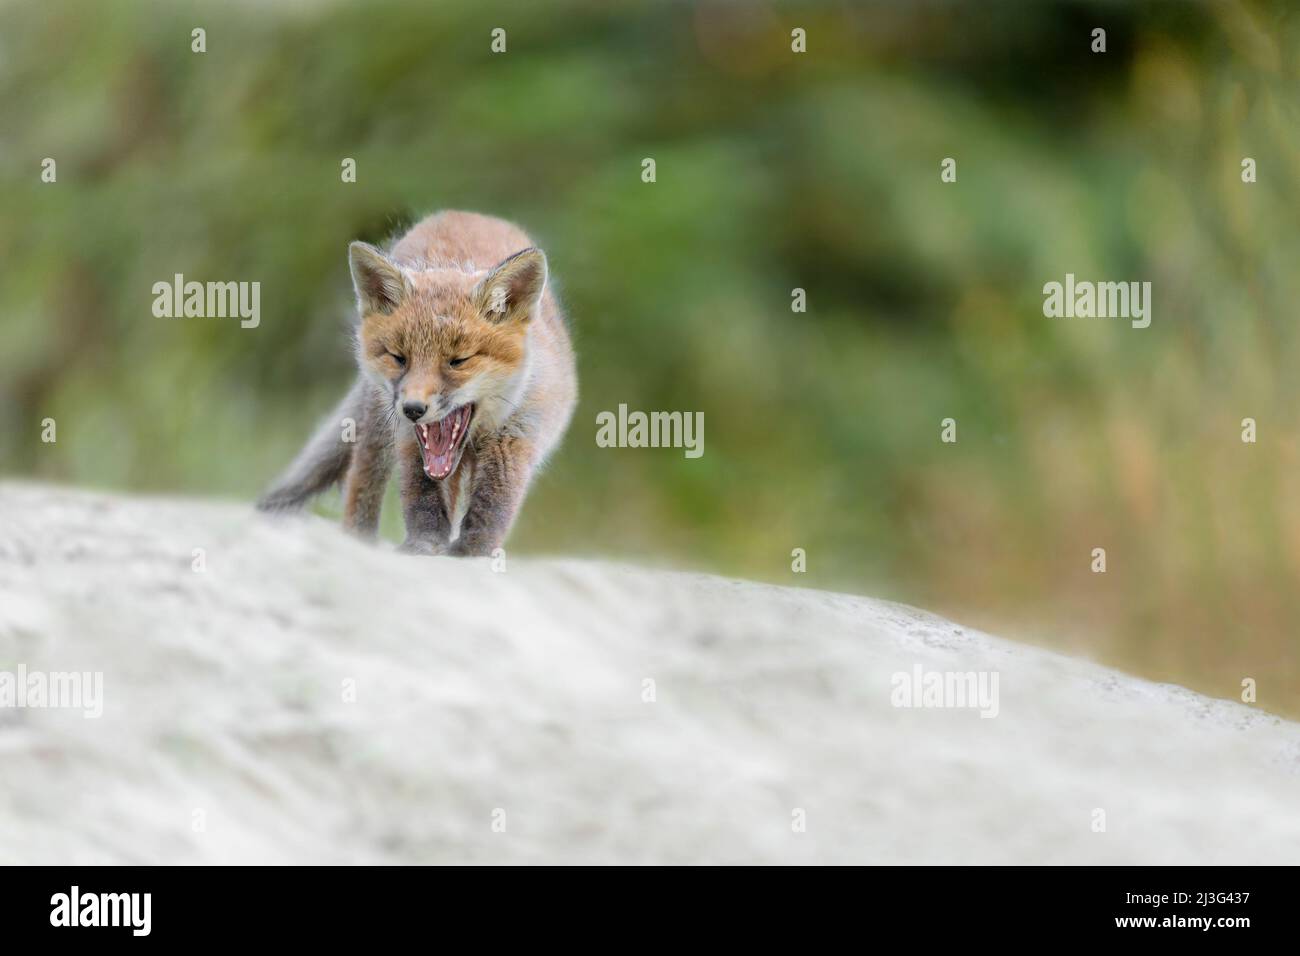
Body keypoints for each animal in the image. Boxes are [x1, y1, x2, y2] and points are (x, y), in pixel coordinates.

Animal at [257, 210, 577, 556]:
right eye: (399, 357)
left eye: (458, 360)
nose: (412, 408)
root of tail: (466, 214)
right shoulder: (409, 441)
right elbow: (423, 499)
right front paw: (423, 545)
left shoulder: (515, 438)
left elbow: (492, 507)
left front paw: (470, 553)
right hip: (377, 425)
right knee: (362, 483)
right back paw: (358, 540)